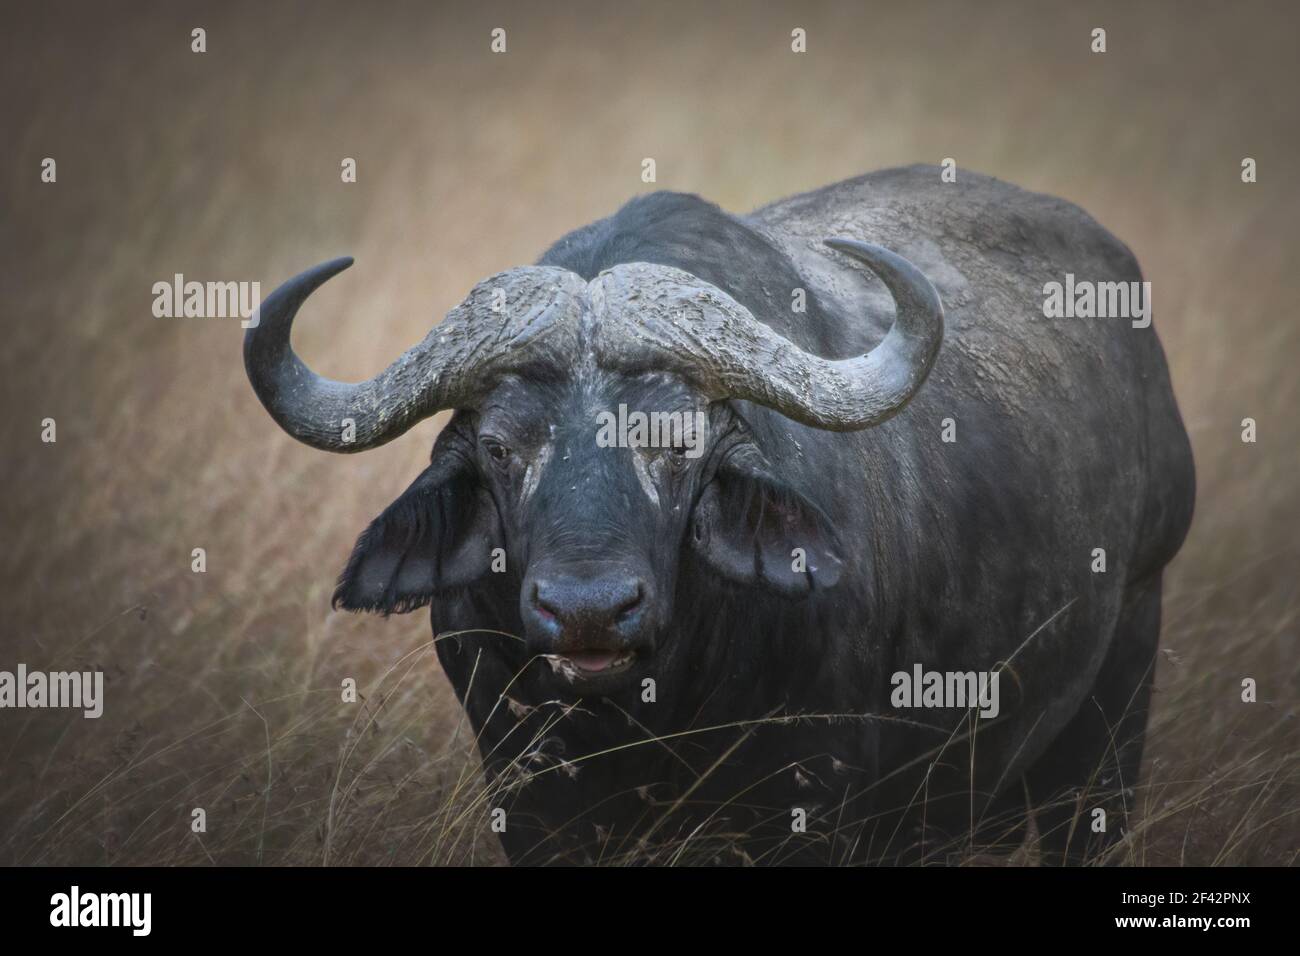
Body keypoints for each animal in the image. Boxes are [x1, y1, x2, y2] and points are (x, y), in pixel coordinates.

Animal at [244, 165, 1195, 864]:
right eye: (502, 448)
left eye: (679, 443)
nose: (589, 611)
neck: (651, 710)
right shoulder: (527, 795)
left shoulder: (811, 803)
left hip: (1115, 700)